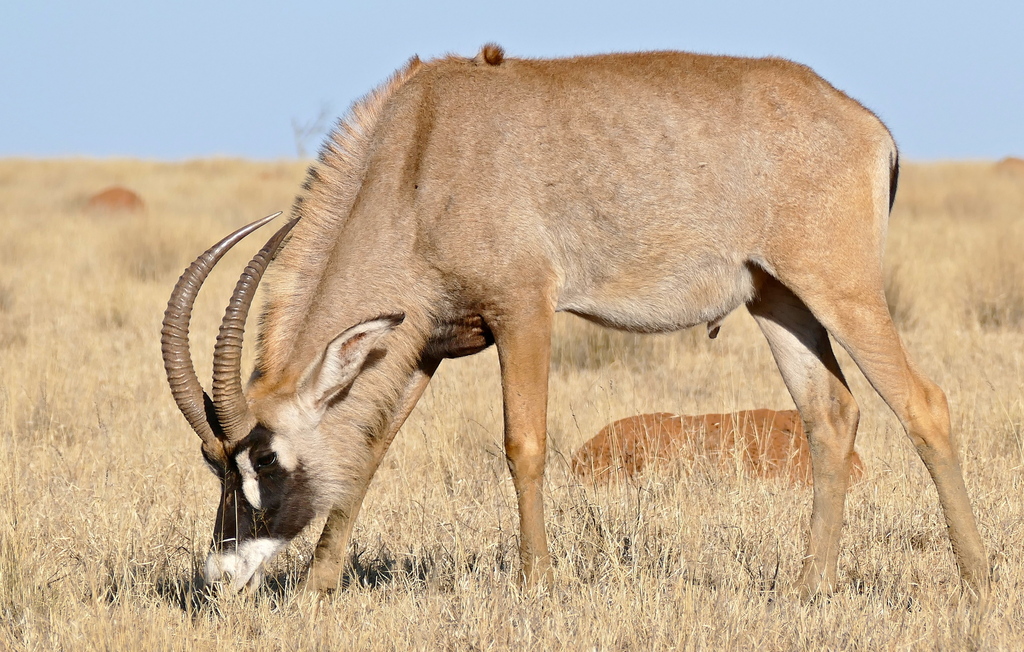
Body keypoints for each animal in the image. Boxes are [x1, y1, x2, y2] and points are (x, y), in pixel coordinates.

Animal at [161, 44, 989, 602]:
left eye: (264, 459)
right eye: (216, 465)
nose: (219, 574)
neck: (421, 147)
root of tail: (867, 126)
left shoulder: (523, 310)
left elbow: (522, 444)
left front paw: (538, 583)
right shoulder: (426, 341)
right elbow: (369, 453)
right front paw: (318, 589)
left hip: (841, 288)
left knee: (924, 403)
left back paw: (977, 581)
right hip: (777, 299)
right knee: (830, 415)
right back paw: (809, 587)